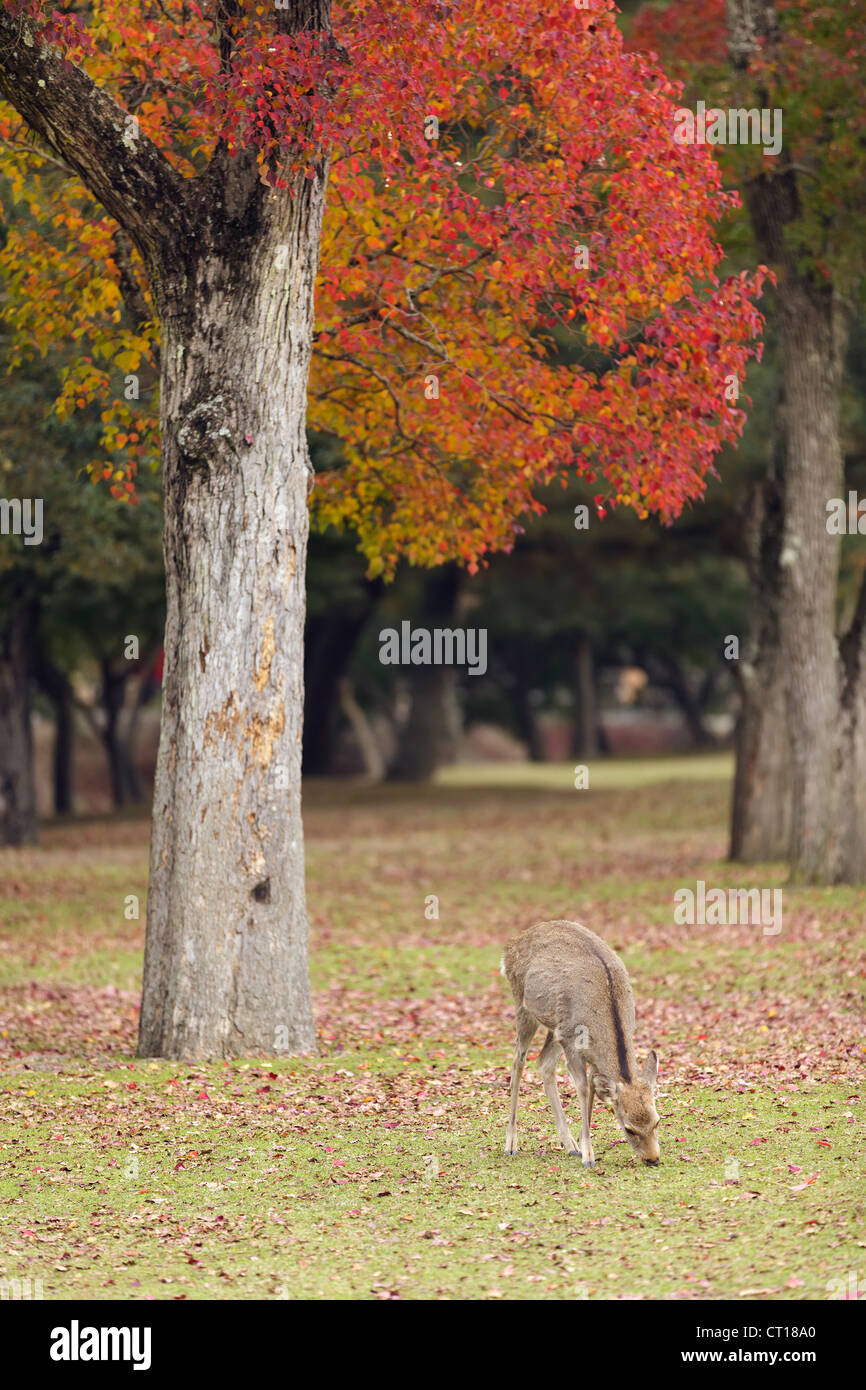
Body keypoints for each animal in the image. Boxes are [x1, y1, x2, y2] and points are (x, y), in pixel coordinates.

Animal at [501, 919, 660, 1167]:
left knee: (544, 1062)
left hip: (556, 1027)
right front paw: (588, 1156)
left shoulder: (589, 1053)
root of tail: (510, 946)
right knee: (518, 1060)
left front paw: (581, 1143)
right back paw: (510, 1144)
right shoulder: (572, 1045)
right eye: (629, 1129)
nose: (653, 1159)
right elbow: (584, 1089)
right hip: (523, 1006)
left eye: (657, 1121)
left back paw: (569, 1144)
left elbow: (593, 1088)